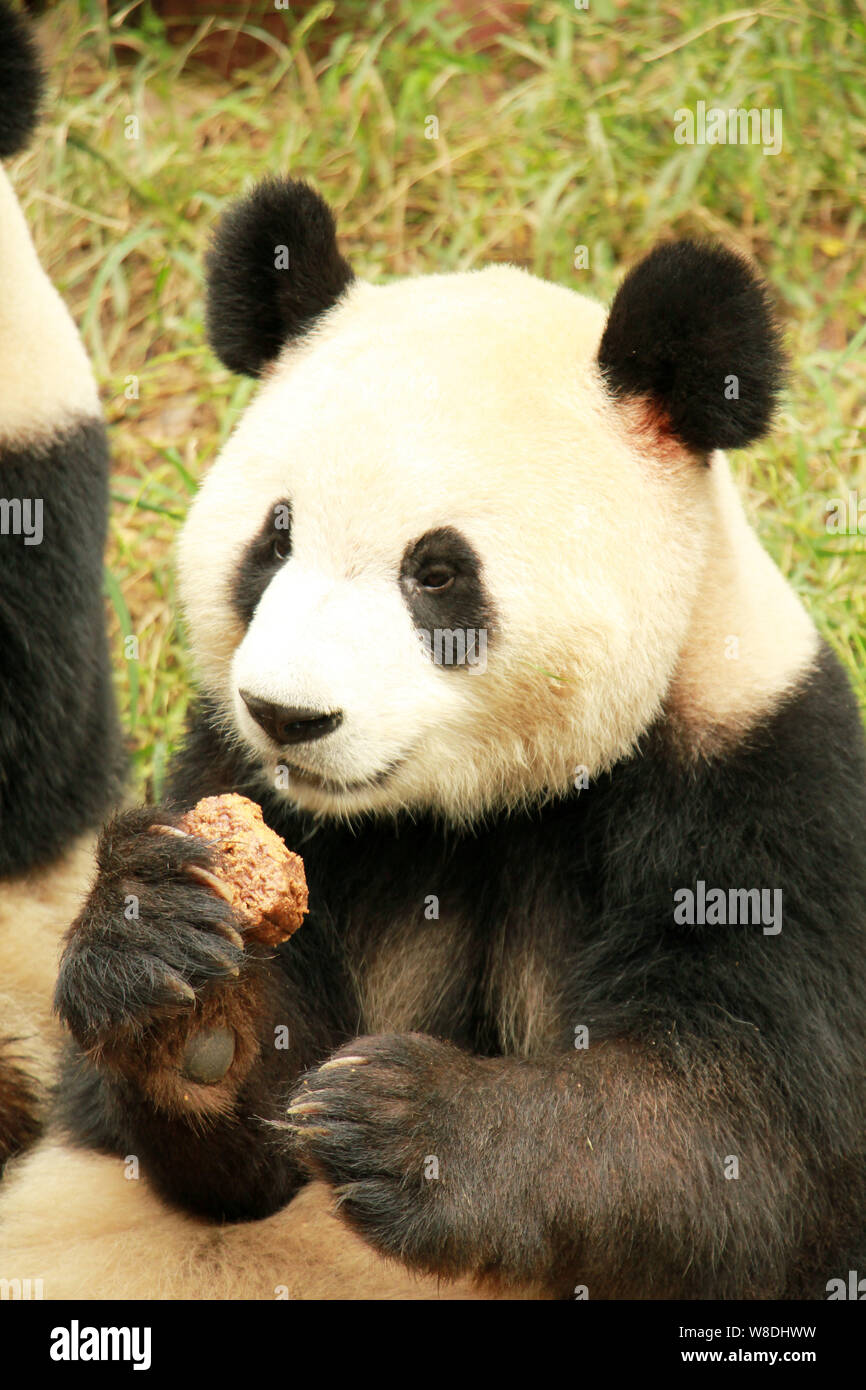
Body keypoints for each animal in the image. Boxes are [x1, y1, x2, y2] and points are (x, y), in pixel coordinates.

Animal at [2, 174, 865, 1301]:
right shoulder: (243, 777)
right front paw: (169, 963)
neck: (477, 806)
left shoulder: (761, 783)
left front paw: (409, 1123)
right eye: (275, 537)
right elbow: (225, 1158)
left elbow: (746, 1144)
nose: (289, 715)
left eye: (438, 571)